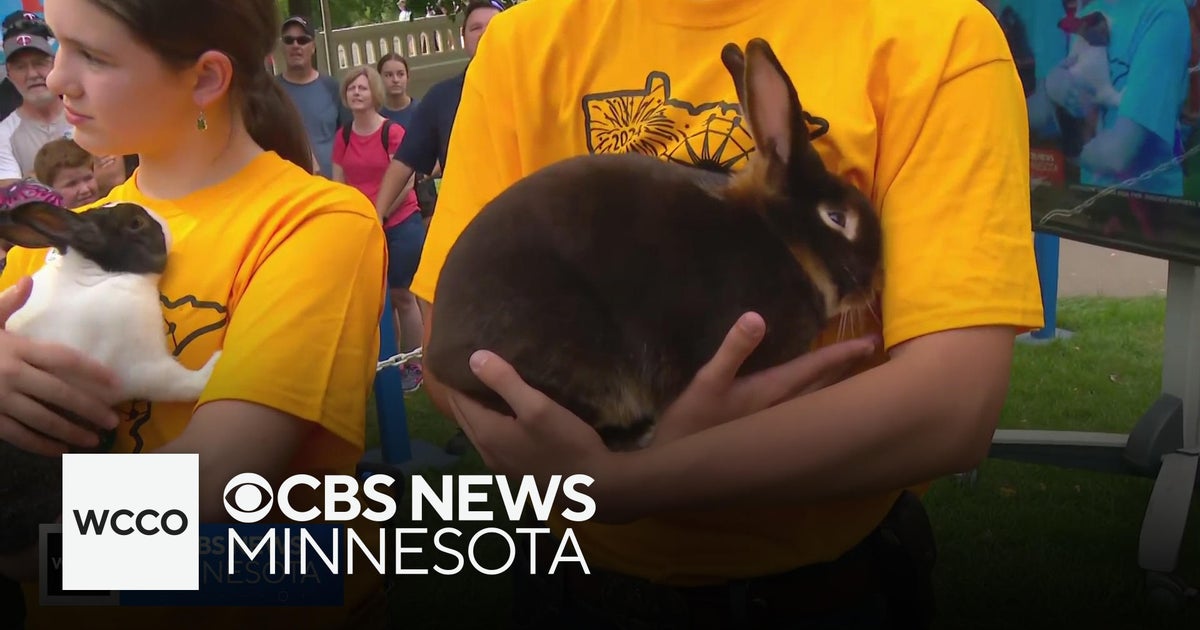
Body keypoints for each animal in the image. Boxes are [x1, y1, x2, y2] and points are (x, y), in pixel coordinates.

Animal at [0, 201, 220, 554]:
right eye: (135, 223)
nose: (161, 219)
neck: (99, 275)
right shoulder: (142, 367)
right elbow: (184, 384)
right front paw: (217, 362)